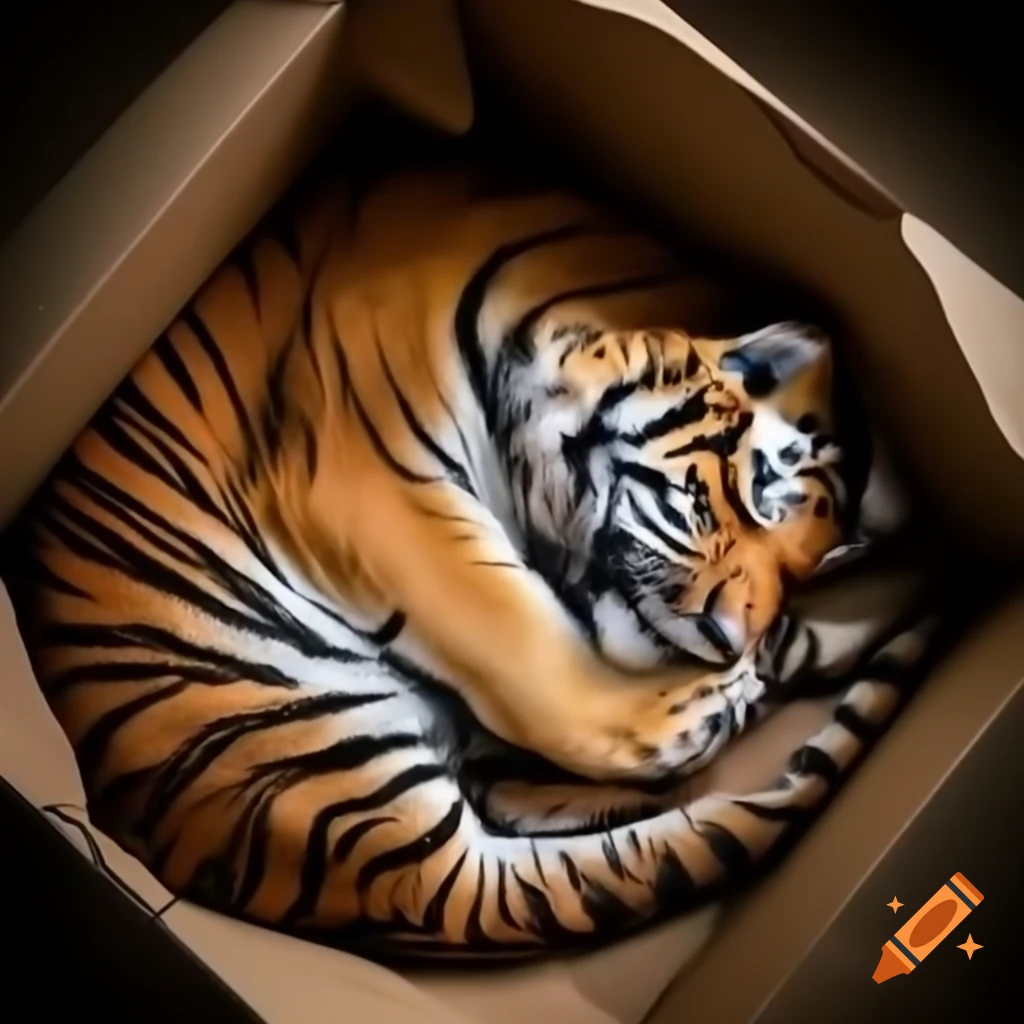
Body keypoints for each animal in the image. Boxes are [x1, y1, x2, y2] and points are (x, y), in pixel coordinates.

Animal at [8, 160, 954, 959]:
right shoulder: (361, 472)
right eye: (757, 494)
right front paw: (673, 724)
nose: (729, 639)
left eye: (804, 566)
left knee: (518, 797)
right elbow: (519, 642)